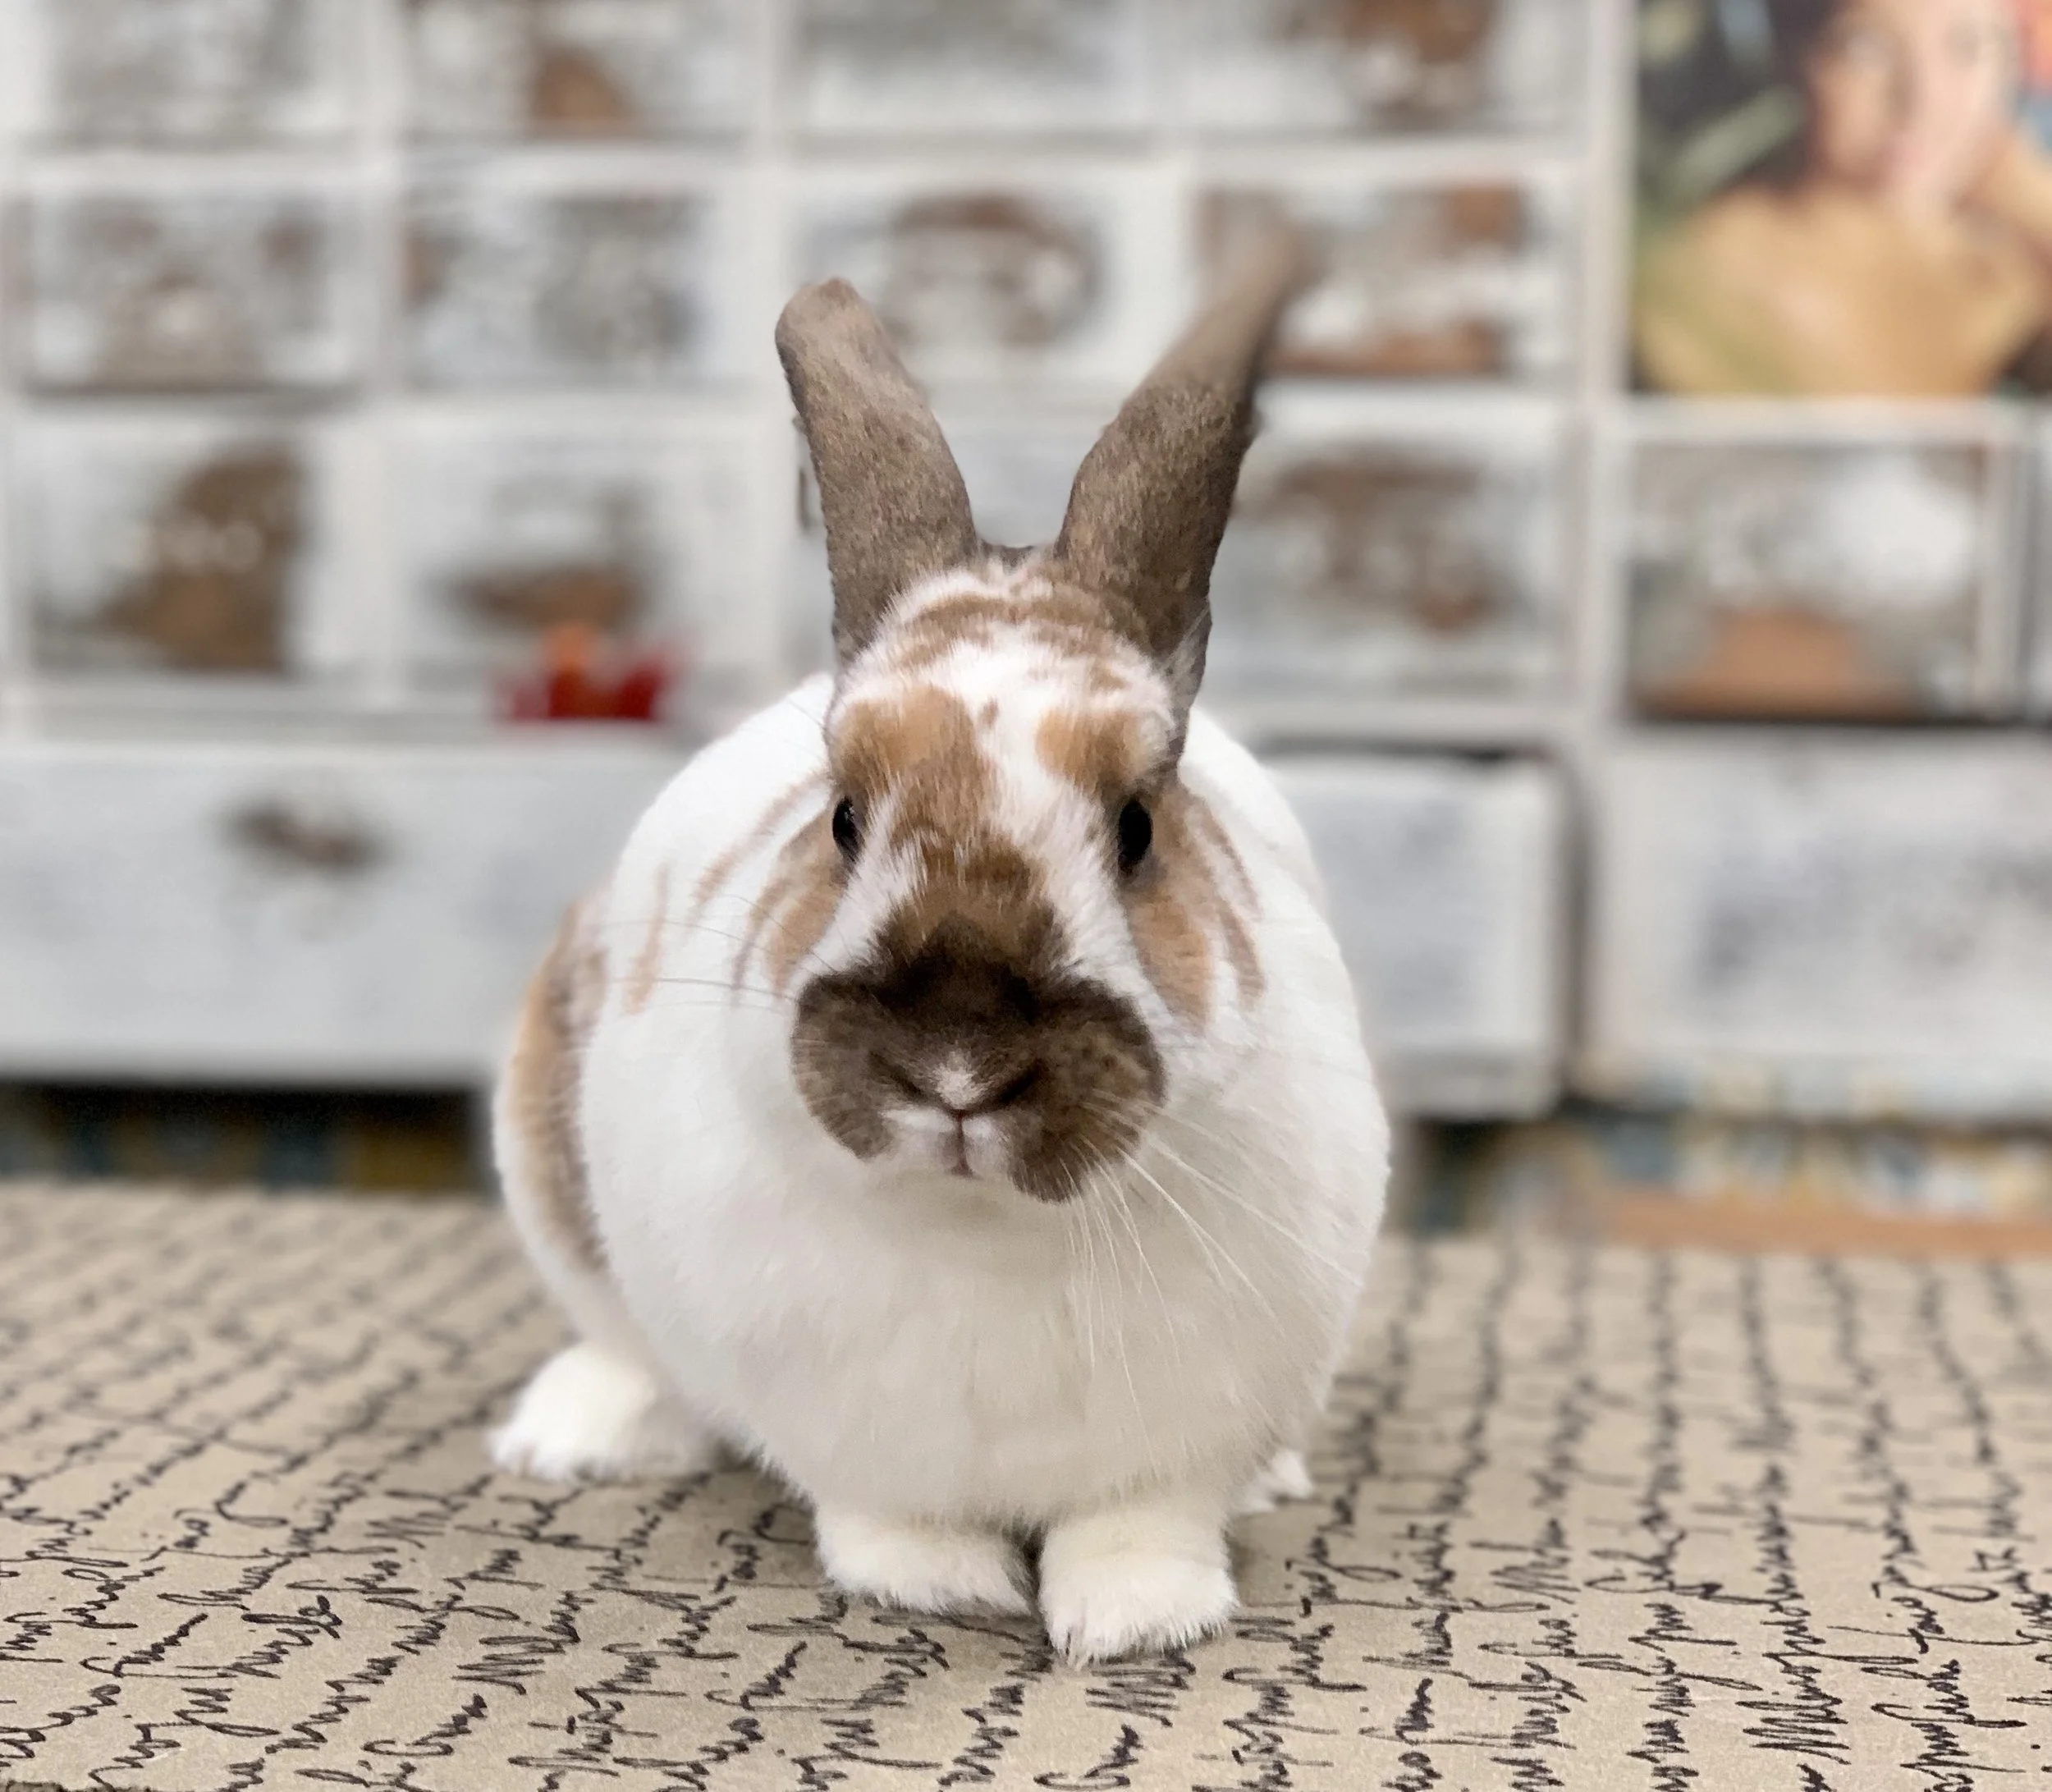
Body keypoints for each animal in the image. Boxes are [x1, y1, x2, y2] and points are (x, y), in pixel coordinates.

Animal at [488, 230, 1390, 1664]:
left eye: (1137, 826)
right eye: (845, 816)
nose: (959, 1060)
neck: (989, 1232)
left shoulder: (1177, 1440)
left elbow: (1141, 1520)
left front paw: (1137, 1619)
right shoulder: (851, 1434)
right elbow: (888, 1513)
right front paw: (943, 1586)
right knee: (619, 1343)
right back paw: (568, 1437)